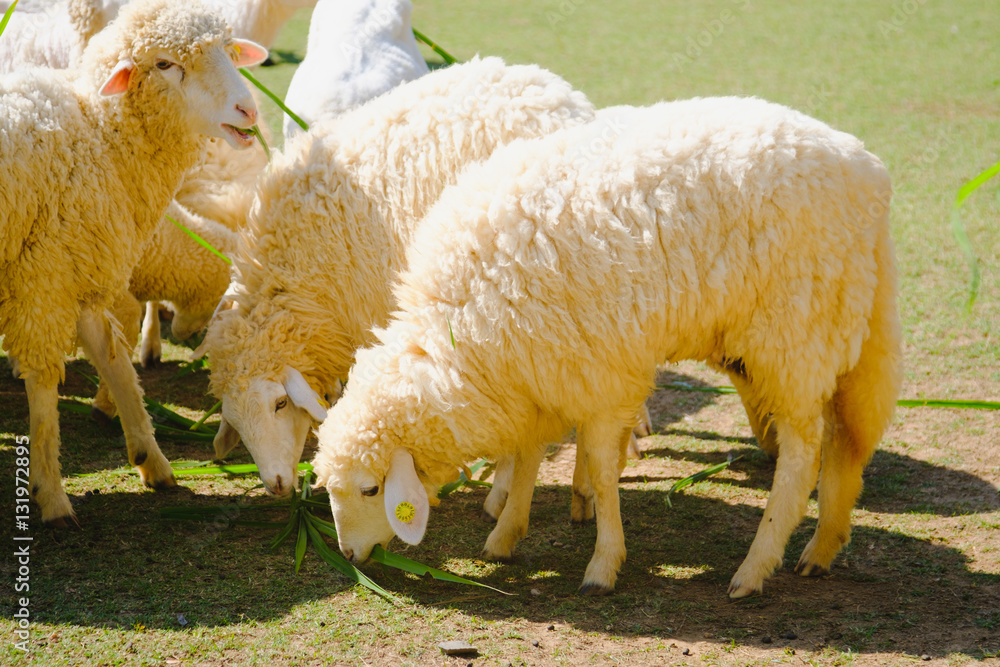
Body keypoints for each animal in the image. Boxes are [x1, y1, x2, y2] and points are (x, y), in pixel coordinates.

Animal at [0, 0, 268, 525]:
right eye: (164, 64)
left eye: (230, 51)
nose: (248, 109)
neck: (98, 136)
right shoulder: (44, 277)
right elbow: (43, 386)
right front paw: (51, 493)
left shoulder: (77, 265)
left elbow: (114, 358)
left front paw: (152, 459)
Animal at [312, 96, 902, 599]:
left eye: (370, 490)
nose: (350, 555)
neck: (457, 334)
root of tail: (869, 169)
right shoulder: (538, 371)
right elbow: (528, 455)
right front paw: (507, 534)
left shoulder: (599, 374)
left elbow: (598, 467)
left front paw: (603, 562)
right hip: (847, 323)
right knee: (846, 440)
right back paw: (822, 547)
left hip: (794, 335)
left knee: (802, 456)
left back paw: (754, 568)